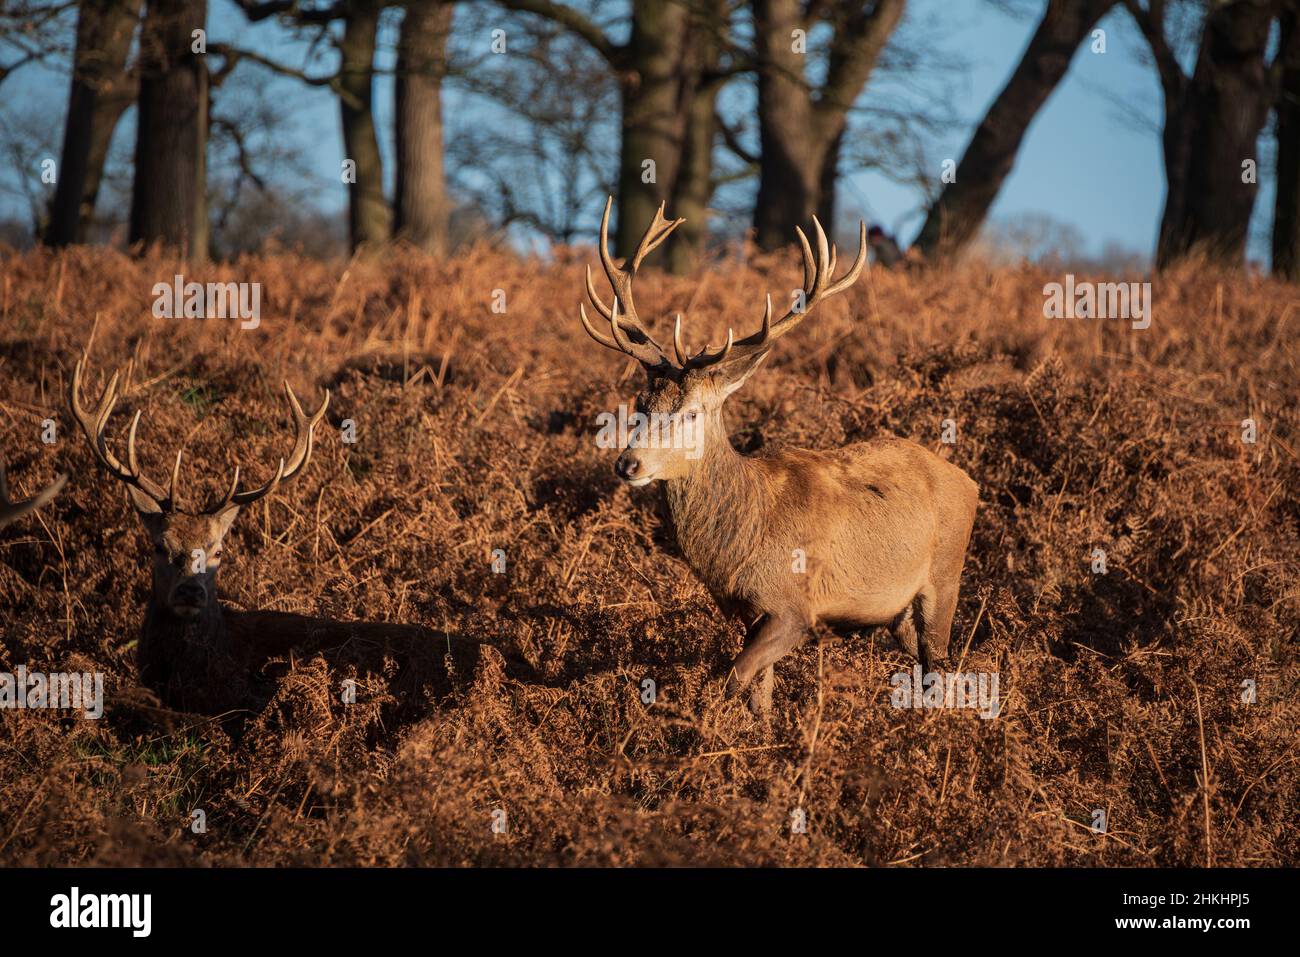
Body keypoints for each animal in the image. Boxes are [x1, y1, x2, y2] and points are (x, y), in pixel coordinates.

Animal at [578, 198, 979, 714]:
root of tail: (968, 480)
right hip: (899, 612)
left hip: (946, 572)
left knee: (942, 661)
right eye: (641, 404)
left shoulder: (795, 606)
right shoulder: (751, 612)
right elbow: (759, 696)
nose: (628, 464)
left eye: (691, 413)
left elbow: (733, 679)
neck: (743, 540)